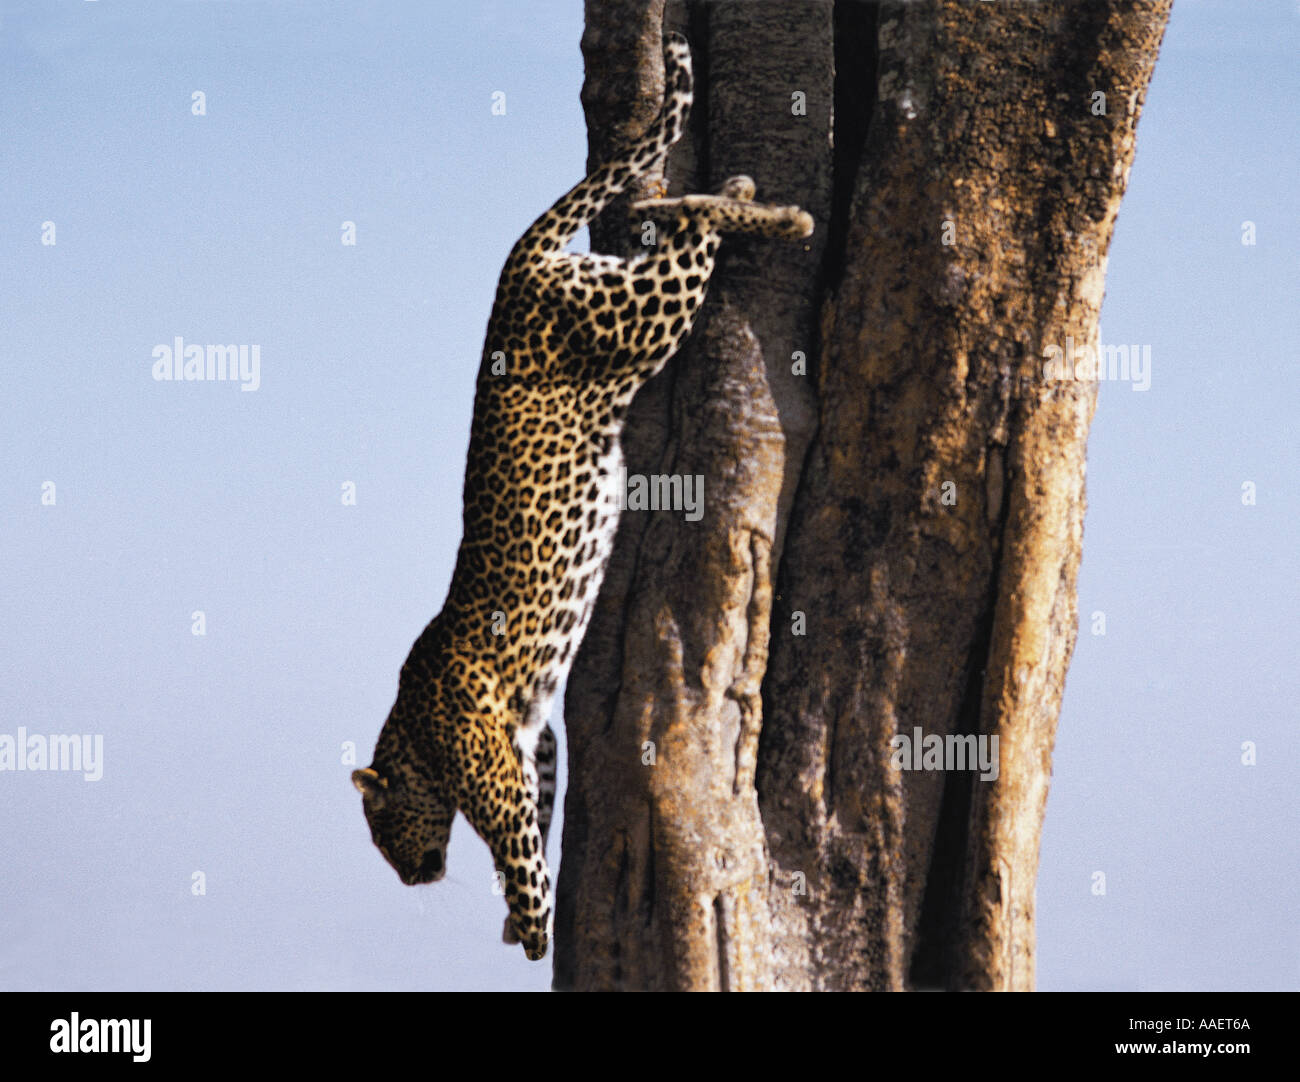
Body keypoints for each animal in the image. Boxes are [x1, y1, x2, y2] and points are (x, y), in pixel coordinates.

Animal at [353, 32, 813, 961]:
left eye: (380, 836)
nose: (411, 879)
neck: (414, 732)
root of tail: (511, 272)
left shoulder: (493, 772)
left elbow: (523, 856)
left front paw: (529, 930)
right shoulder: (538, 743)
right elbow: (549, 795)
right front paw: (512, 916)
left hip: (635, 320)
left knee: (689, 234)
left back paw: (771, 213)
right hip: (624, 301)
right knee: (674, 224)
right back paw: (749, 193)